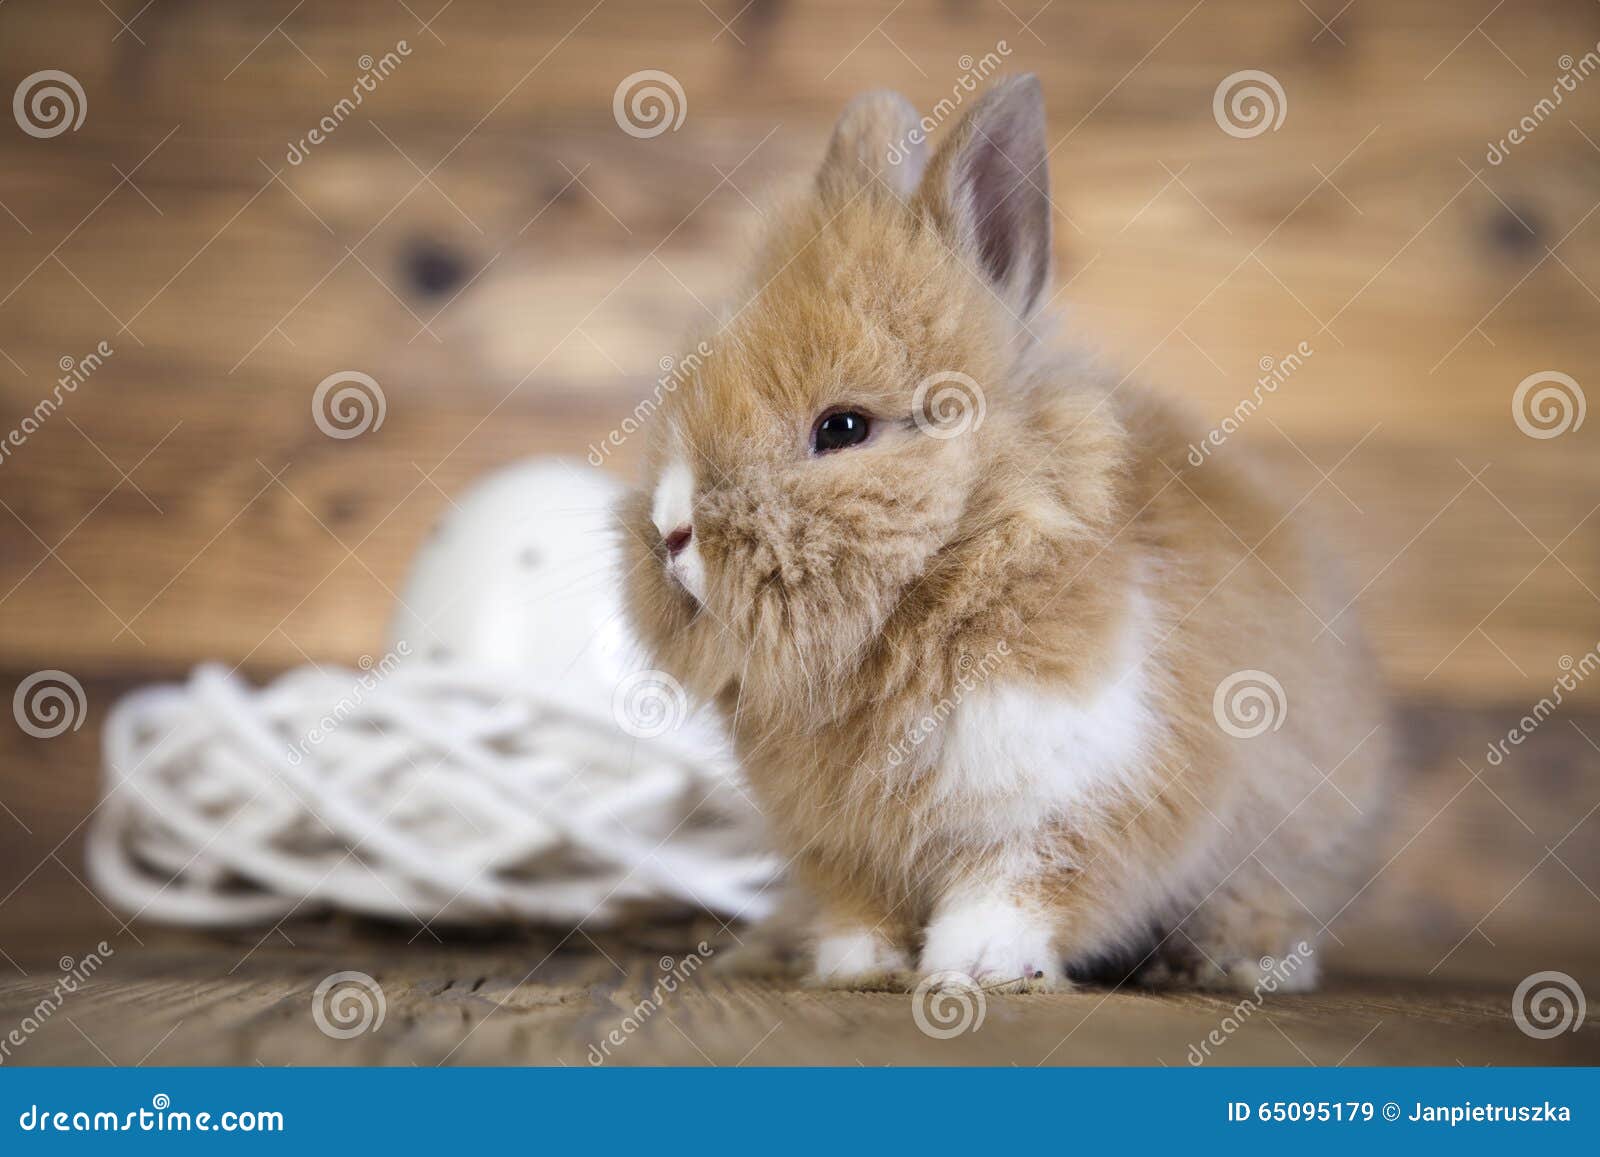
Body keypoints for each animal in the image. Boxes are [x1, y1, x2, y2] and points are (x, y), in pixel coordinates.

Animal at [618, 75, 1390, 993]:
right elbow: (860, 908)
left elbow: (1021, 883)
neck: (946, 569)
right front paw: (857, 967)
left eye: (842, 427)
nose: (672, 530)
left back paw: (1242, 965)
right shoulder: (842, 850)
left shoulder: (1081, 793)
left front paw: (976, 967)